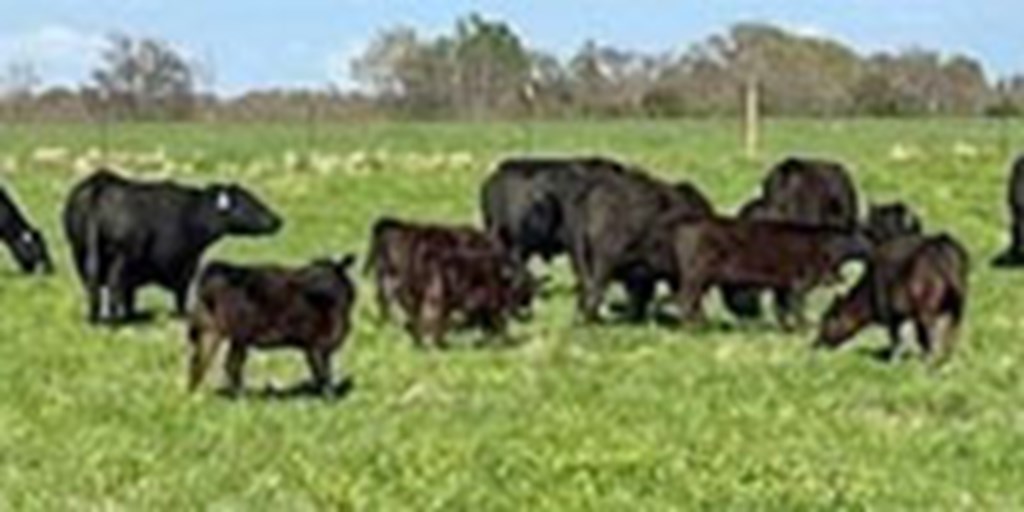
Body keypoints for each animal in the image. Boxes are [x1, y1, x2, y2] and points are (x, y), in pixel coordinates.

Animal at [63, 169, 282, 325]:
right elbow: (180, 292)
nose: (277, 220)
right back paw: (115, 320)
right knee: (114, 283)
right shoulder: (185, 263)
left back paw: (96, 318)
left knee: (92, 284)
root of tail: (101, 182)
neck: (193, 213)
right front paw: (183, 315)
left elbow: (130, 294)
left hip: (81, 253)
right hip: (122, 258)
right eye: (249, 202)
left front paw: (132, 314)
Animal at [187, 256, 357, 396]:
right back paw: (241, 397)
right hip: (239, 334)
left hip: (211, 330)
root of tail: (217, 268)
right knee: (231, 365)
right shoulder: (315, 344)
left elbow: (325, 370)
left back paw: (194, 395)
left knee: (199, 360)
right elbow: (322, 373)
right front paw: (329, 399)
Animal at [671, 217, 872, 328]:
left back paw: (701, 323)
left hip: (704, 279)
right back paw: (692, 328)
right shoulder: (799, 283)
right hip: (696, 275)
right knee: (686, 299)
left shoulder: (783, 285)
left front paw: (786, 328)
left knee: (695, 300)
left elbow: (781, 308)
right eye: (867, 236)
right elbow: (796, 307)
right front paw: (803, 328)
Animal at [816, 234, 968, 365]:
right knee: (952, 333)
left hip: (927, 310)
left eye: (827, 319)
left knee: (931, 336)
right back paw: (946, 361)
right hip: (958, 307)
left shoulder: (891, 315)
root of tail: (941, 245)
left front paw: (893, 362)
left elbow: (897, 339)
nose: (816, 343)